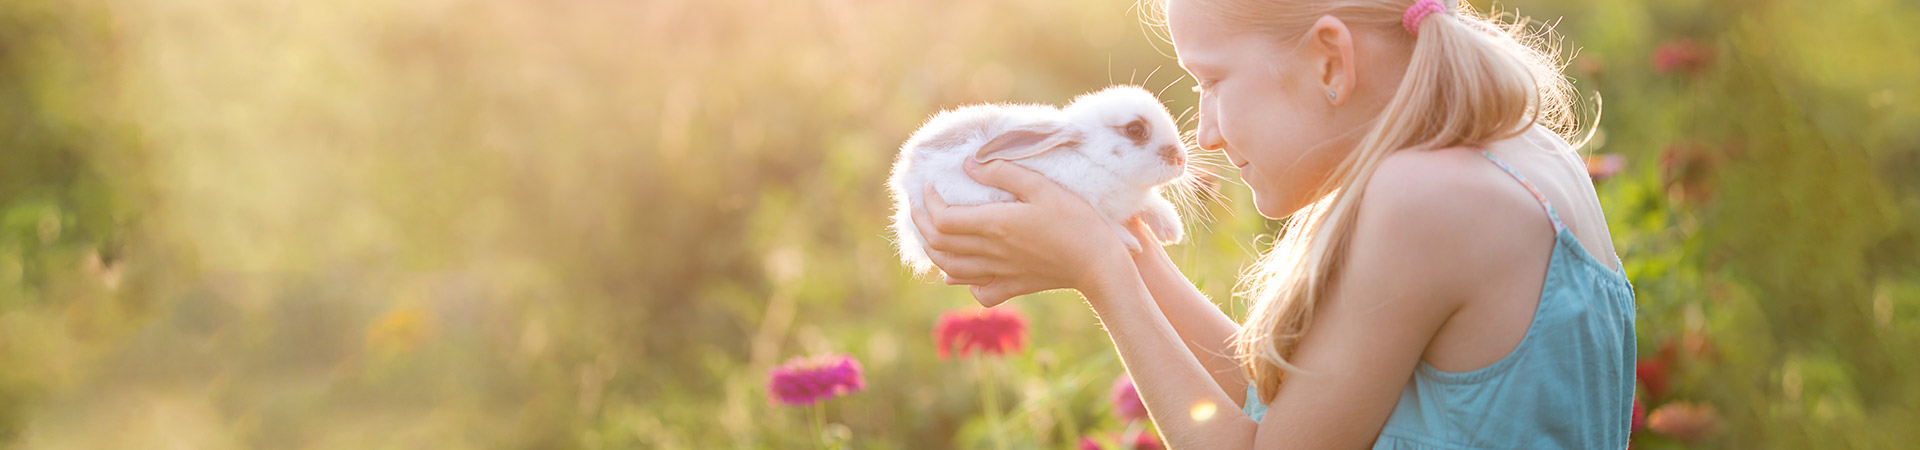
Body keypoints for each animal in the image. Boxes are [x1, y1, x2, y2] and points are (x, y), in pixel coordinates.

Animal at [887, 85, 1189, 275]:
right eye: (1135, 130)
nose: (1181, 159)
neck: (1089, 159)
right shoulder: (1092, 206)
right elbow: (1108, 223)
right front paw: (1130, 242)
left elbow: (1151, 203)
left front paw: (1170, 229)